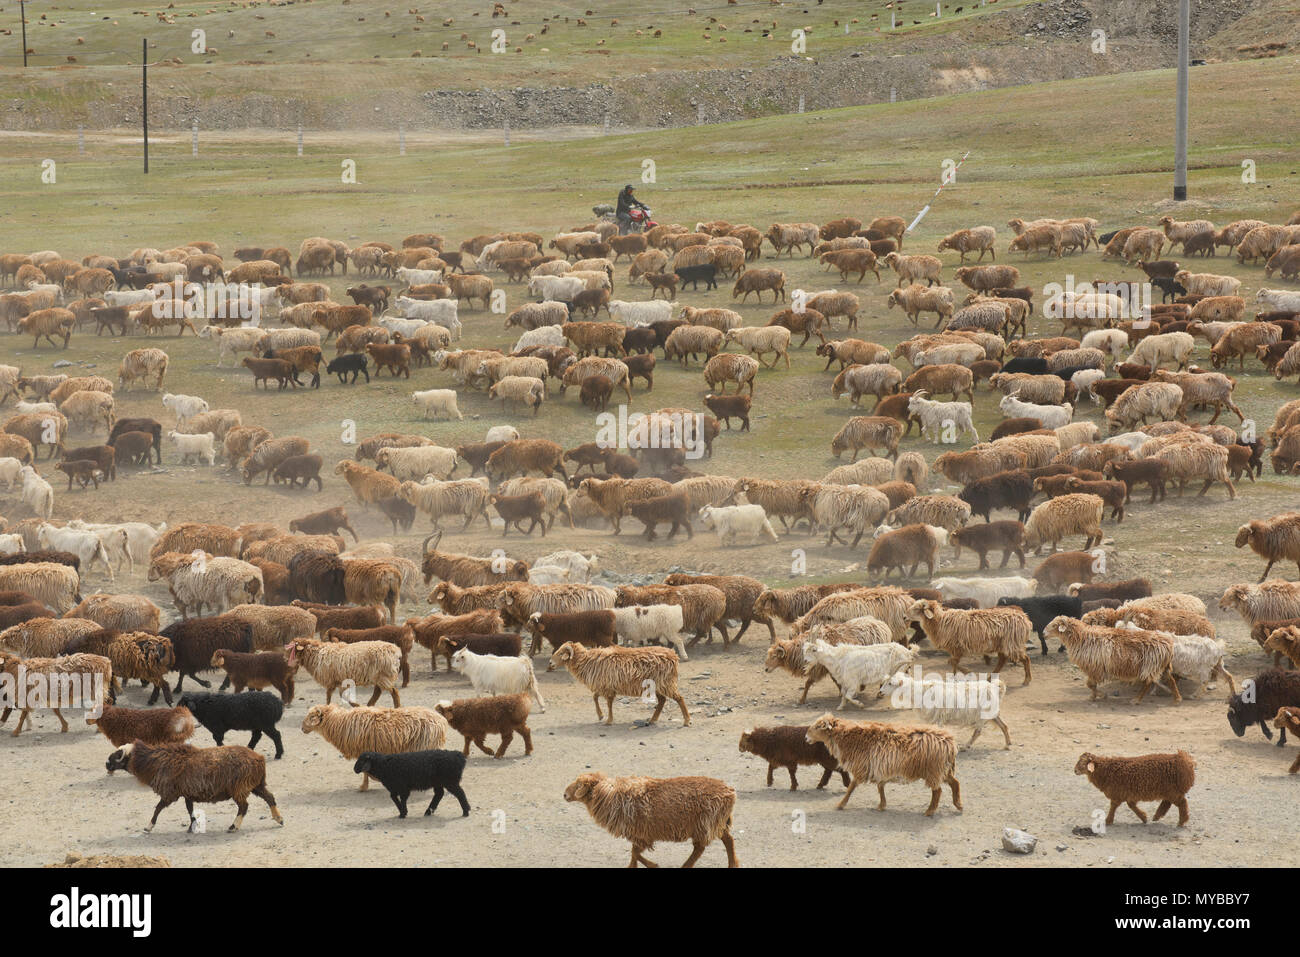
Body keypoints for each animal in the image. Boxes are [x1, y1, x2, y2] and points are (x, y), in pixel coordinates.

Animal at [805, 714, 961, 815]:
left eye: (818, 726)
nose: (806, 738)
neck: (848, 738)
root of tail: (950, 743)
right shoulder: (879, 768)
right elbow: (880, 788)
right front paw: (881, 806)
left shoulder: (862, 768)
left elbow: (851, 788)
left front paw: (840, 805)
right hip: (943, 769)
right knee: (955, 783)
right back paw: (959, 805)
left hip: (934, 770)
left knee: (937, 791)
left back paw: (930, 811)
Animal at [1043, 616, 1178, 703]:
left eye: (1054, 625)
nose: (1043, 634)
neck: (1082, 637)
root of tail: (1168, 645)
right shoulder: (1095, 668)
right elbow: (1091, 685)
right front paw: (1095, 697)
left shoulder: (1094, 668)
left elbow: (1090, 684)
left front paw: (1100, 695)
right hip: (1161, 666)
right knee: (1170, 680)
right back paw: (1177, 698)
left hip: (1150, 666)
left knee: (1148, 683)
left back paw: (1136, 700)